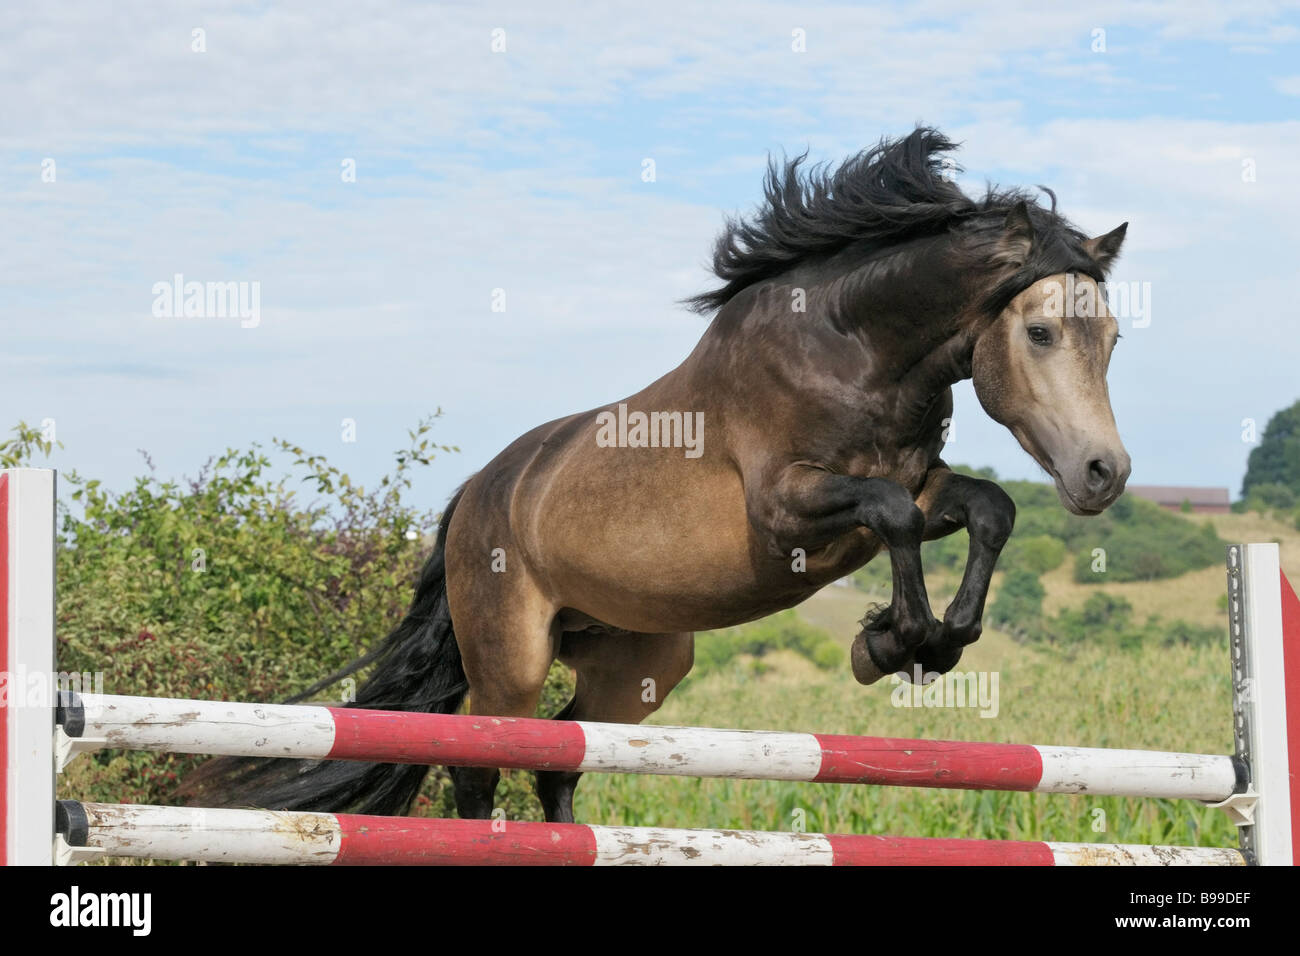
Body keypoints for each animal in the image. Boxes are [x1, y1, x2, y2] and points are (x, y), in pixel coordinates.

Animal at [183, 127, 1131, 823]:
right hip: (511, 660)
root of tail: (472, 500)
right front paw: (895, 642)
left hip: (638, 664)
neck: (858, 350)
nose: (1104, 474)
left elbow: (988, 510)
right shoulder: (786, 511)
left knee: (561, 758)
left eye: (1114, 337)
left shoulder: (917, 485)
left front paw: (932, 641)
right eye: (1040, 333)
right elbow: (894, 513)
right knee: (484, 762)